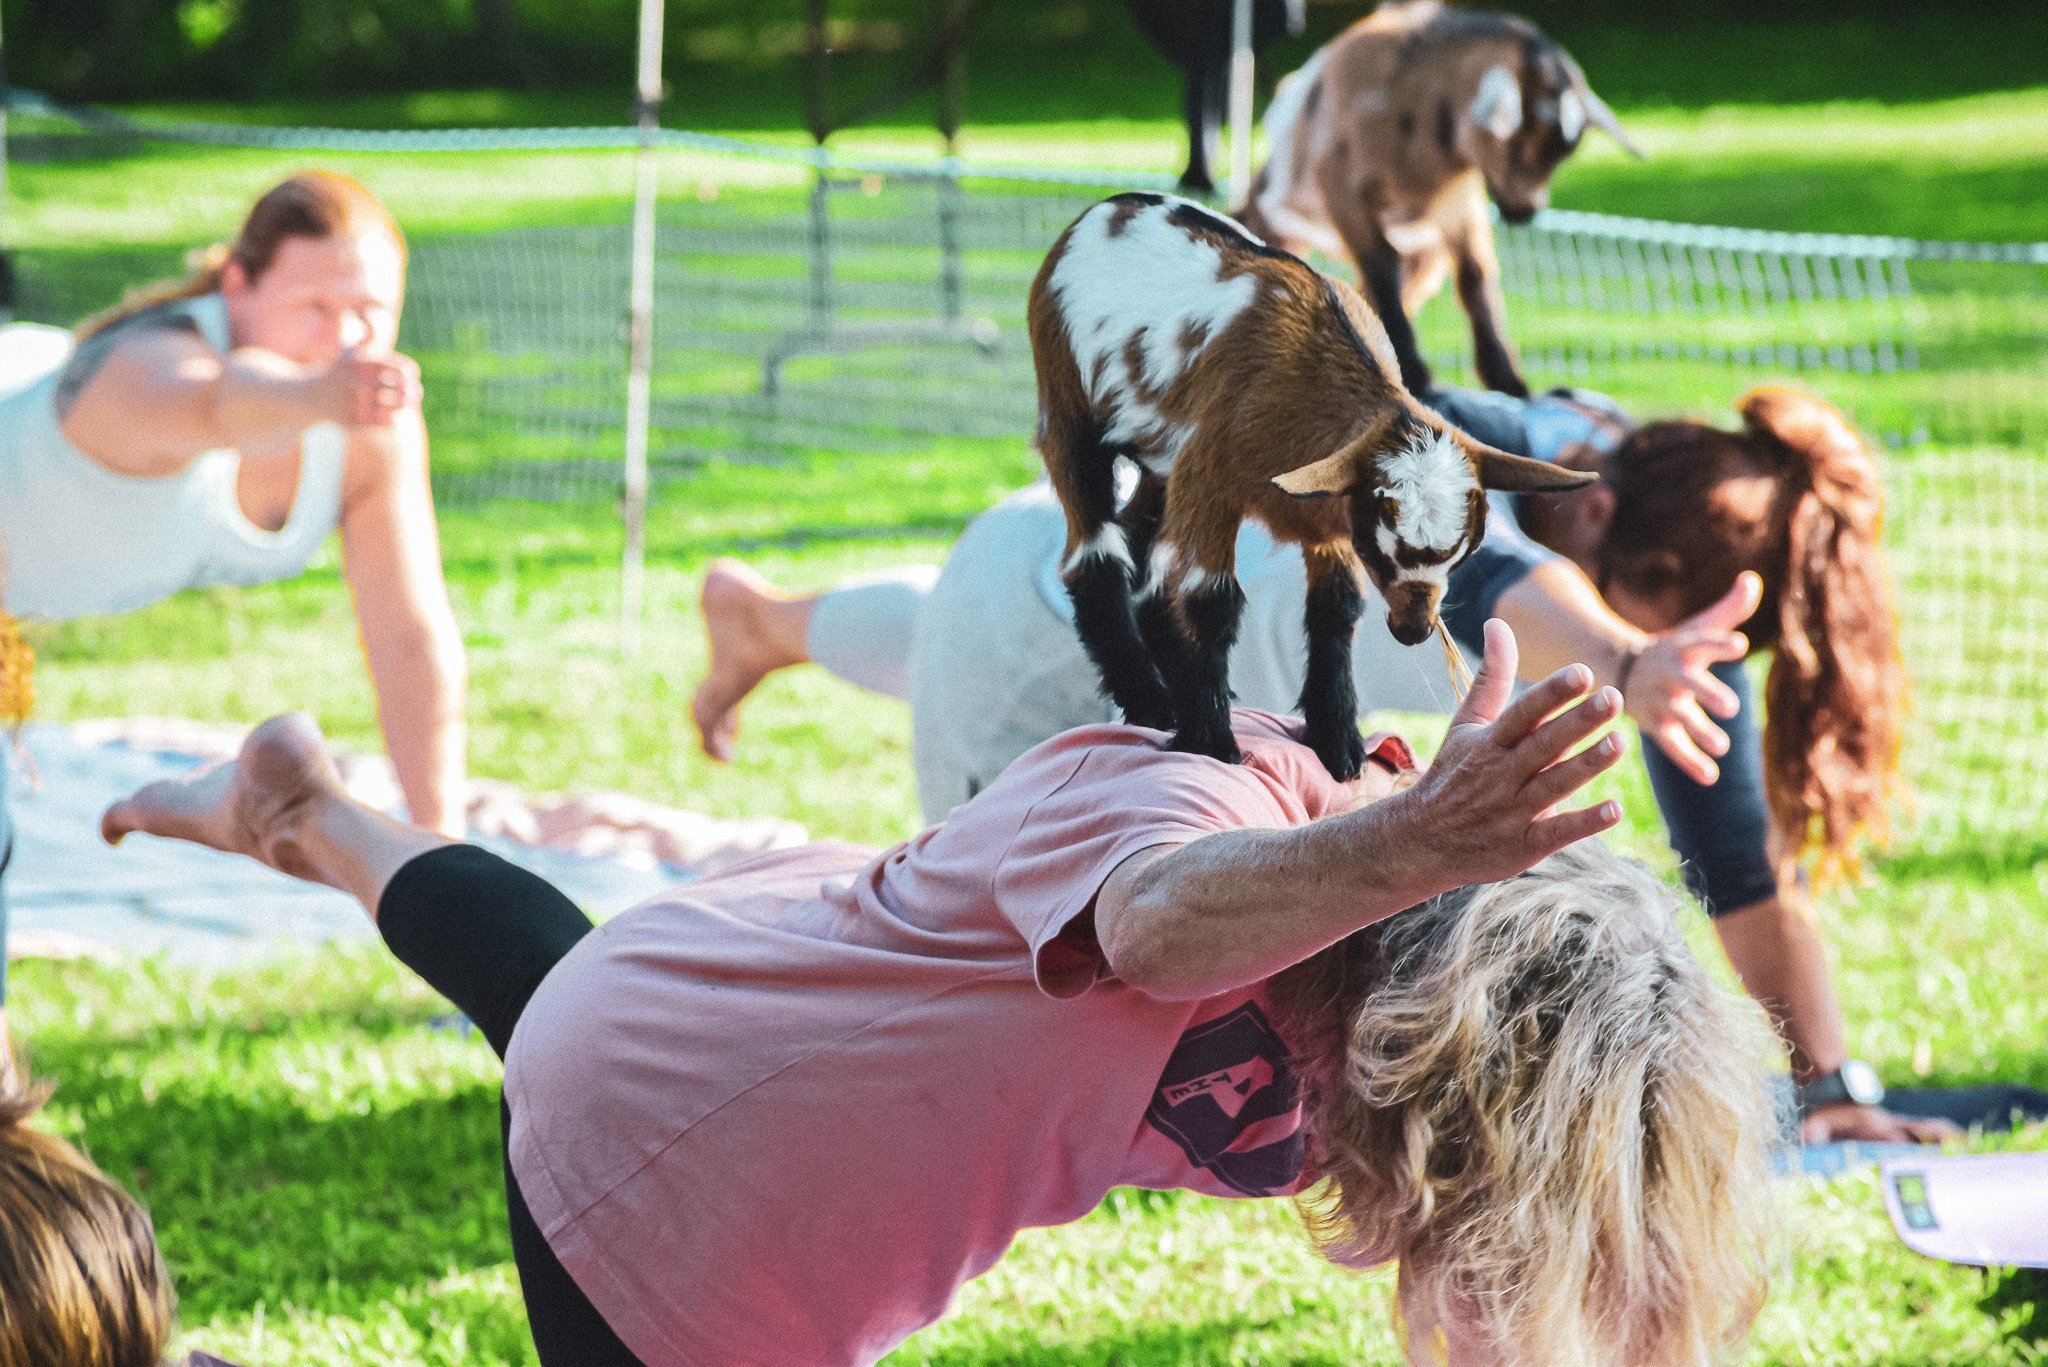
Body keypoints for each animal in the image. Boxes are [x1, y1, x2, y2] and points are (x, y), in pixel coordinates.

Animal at [1029, 192, 1591, 780]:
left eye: (1465, 552)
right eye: (1377, 547)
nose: (1414, 628)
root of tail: (1104, 210)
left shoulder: (1325, 516)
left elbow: (1336, 607)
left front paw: (1338, 739)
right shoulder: (1210, 479)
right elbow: (1211, 601)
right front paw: (1211, 743)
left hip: (1161, 464)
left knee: (1143, 554)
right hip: (1068, 403)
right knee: (1093, 550)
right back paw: (1150, 701)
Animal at [1237, 0, 1640, 398]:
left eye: (1564, 154)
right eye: (1516, 145)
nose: (1526, 212)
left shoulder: (1459, 202)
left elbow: (1476, 274)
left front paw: (1507, 382)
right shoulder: (1342, 187)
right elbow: (1382, 265)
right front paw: (1417, 376)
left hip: (1425, 249)